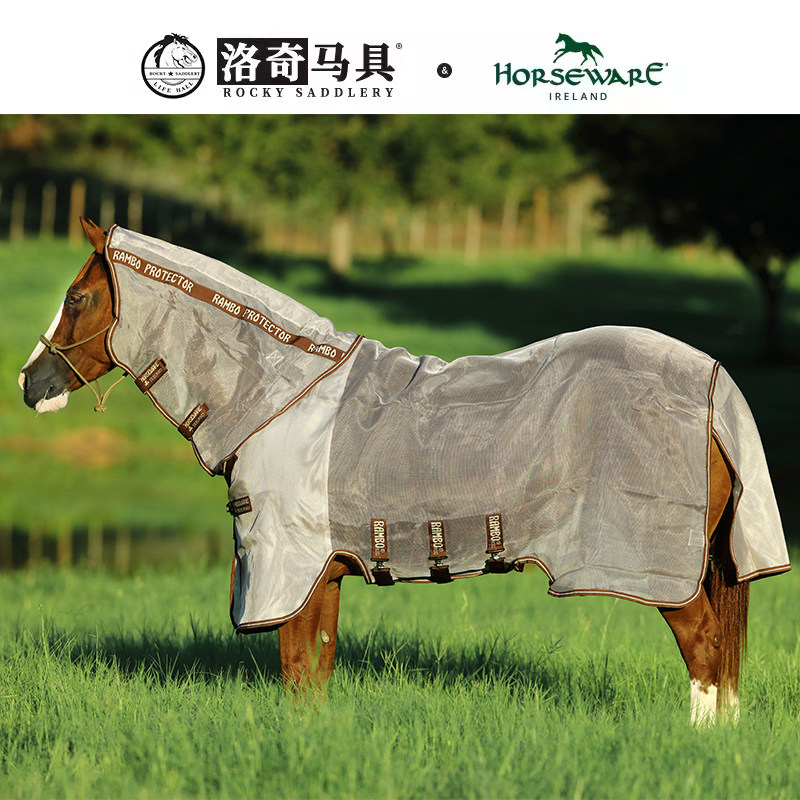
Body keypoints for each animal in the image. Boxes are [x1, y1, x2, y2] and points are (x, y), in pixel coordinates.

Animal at [19, 219, 790, 725]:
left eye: (78, 298)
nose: (31, 384)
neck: (279, 395)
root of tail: (714, 382)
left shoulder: (287, 564)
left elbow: (295, 667)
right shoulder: (320, 573)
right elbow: (314, 670)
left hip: (656, 565)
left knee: (707, 649)